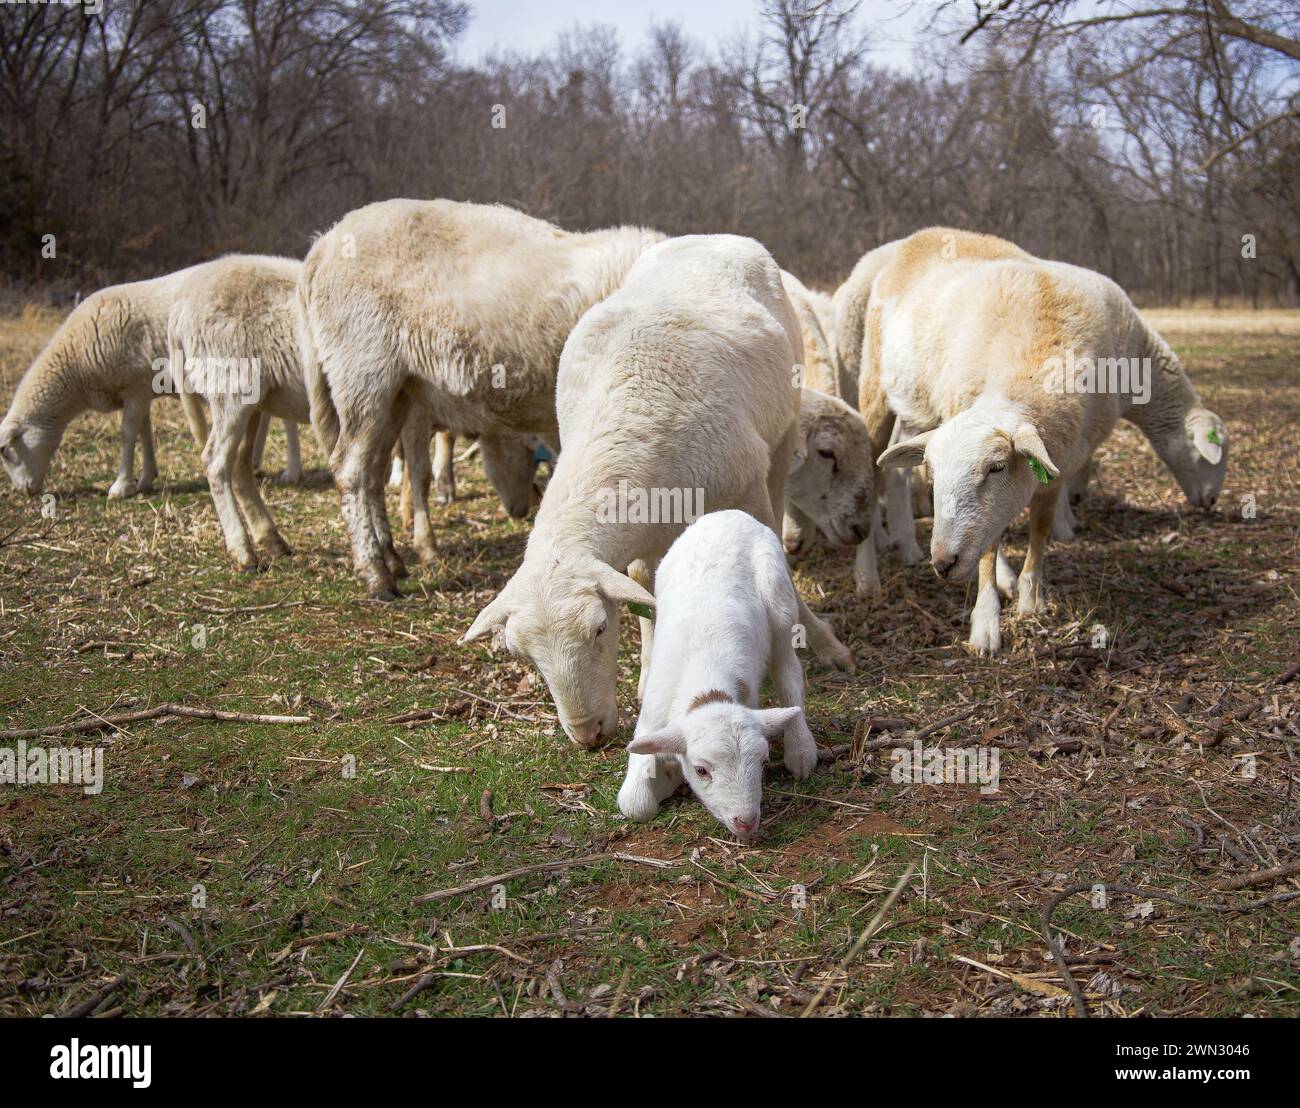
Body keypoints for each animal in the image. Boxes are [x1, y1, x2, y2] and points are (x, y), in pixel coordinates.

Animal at [0, 267, 210, 500]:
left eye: (6, 452)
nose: (24, 492)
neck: (75, 365)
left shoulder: (135, 386)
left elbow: (128, 433)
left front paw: (121, 486)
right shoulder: (141, 391)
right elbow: (144, 431)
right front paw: (146, 479)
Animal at [298, 198, 666, 599]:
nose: (522, 507)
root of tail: (323, 245)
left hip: (398, 390)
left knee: (375, 471)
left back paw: (392, 558)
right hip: (362, 370)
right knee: (350, 471)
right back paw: (374, 573)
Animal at [463, 234, 854, 749]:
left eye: (600, 629)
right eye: (524, 655)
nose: (587, 735)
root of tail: (710, 236)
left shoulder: (746, 489)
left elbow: (779, 569)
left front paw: (823, 643)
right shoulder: (641, 533)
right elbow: (643, 589)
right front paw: (651, 673)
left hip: (783, 428)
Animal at [616, 510, 816, 839]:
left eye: (763, 762)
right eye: (701, 770)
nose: (746, 822)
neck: (706, 686)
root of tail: (729, 514)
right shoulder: (651, 719)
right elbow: (636, 805)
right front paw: (666, 776)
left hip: (779, 595)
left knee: (789, 673)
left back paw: (800, 750)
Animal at [860, 228, 1227, 655]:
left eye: (997, 467)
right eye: (934, 473)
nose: (943, 562)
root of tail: (925, 235)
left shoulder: (1061, 457)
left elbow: (1039, 525)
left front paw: (1031, 597)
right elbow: (989, 546)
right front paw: (986, 621)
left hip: (916, 406)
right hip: (875, 387)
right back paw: (868, 575)